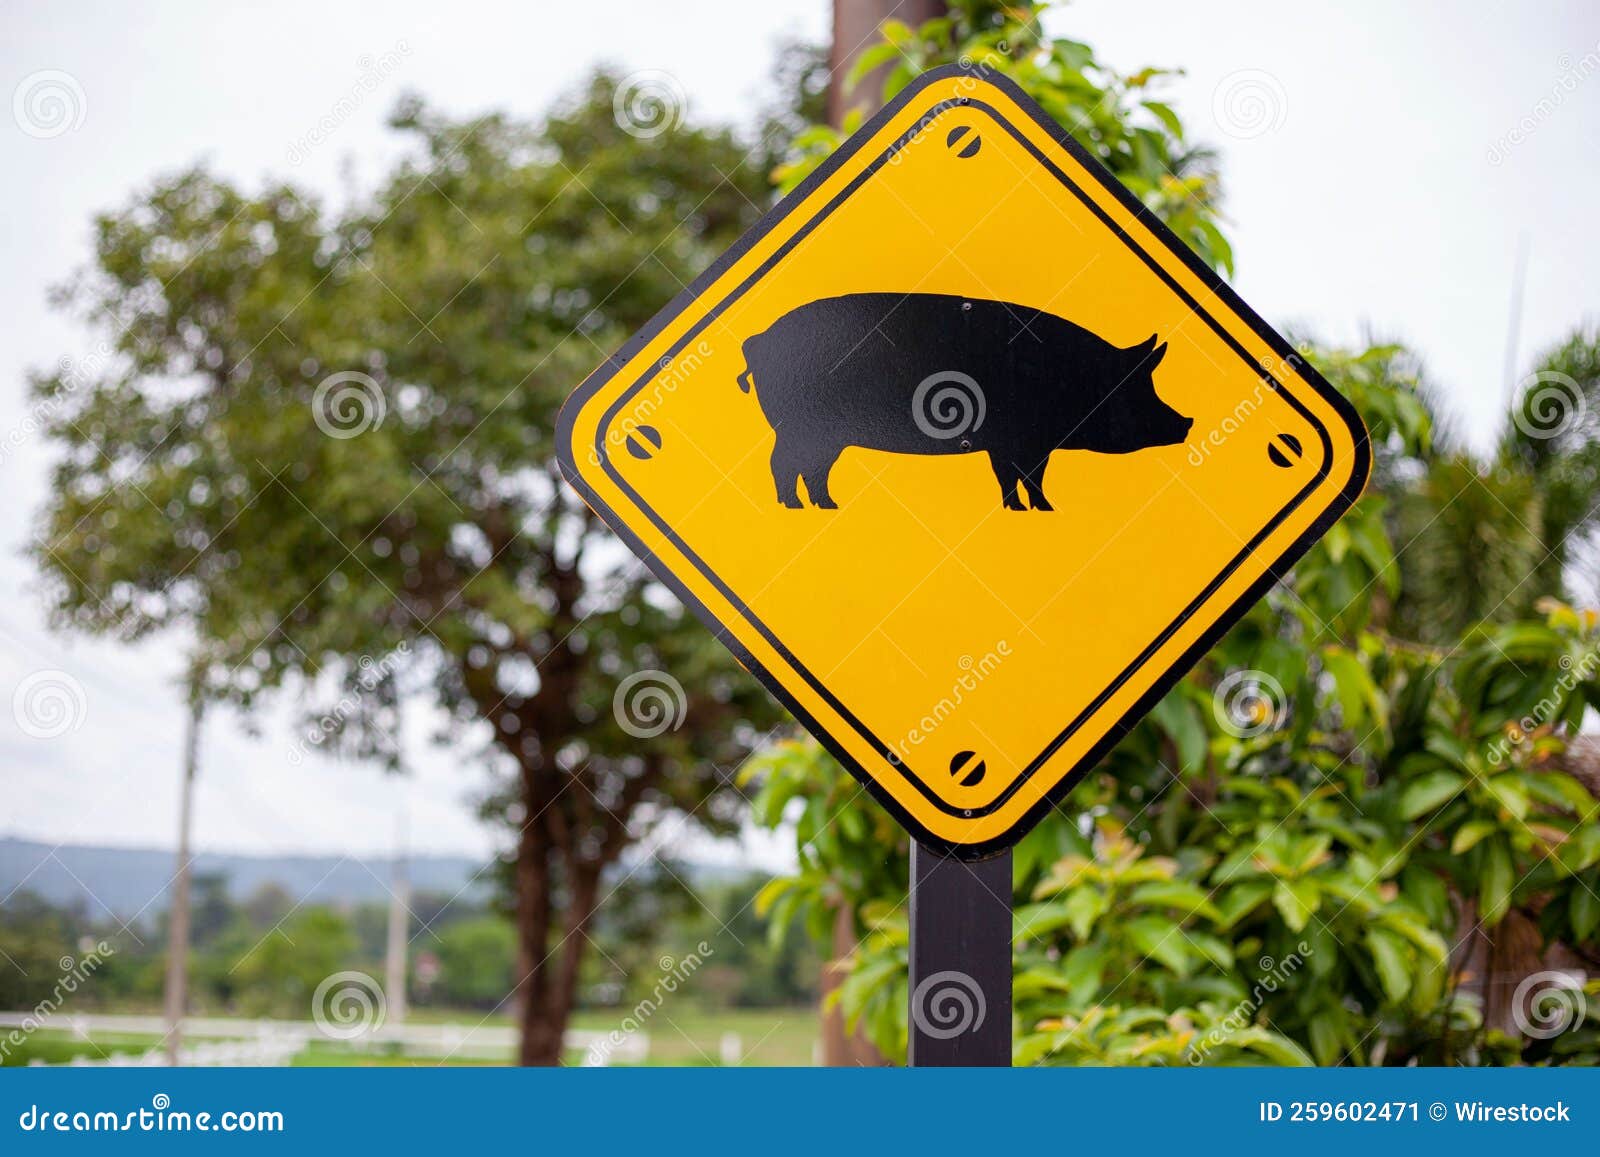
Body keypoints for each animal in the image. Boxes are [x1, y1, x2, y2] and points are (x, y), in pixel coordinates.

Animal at [735, 292, 1193, 510]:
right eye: (1138, 389)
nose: (1188, 422)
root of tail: (757, 339)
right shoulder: (1022, 442)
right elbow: (1027, 478)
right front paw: (1045, 510)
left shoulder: (1012, 445)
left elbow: (1013, 478)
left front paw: (1025, 511)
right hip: (803, 429)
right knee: (782, 463)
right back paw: (797, 508)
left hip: (824, 436)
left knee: (809, 469)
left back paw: (825, 506)